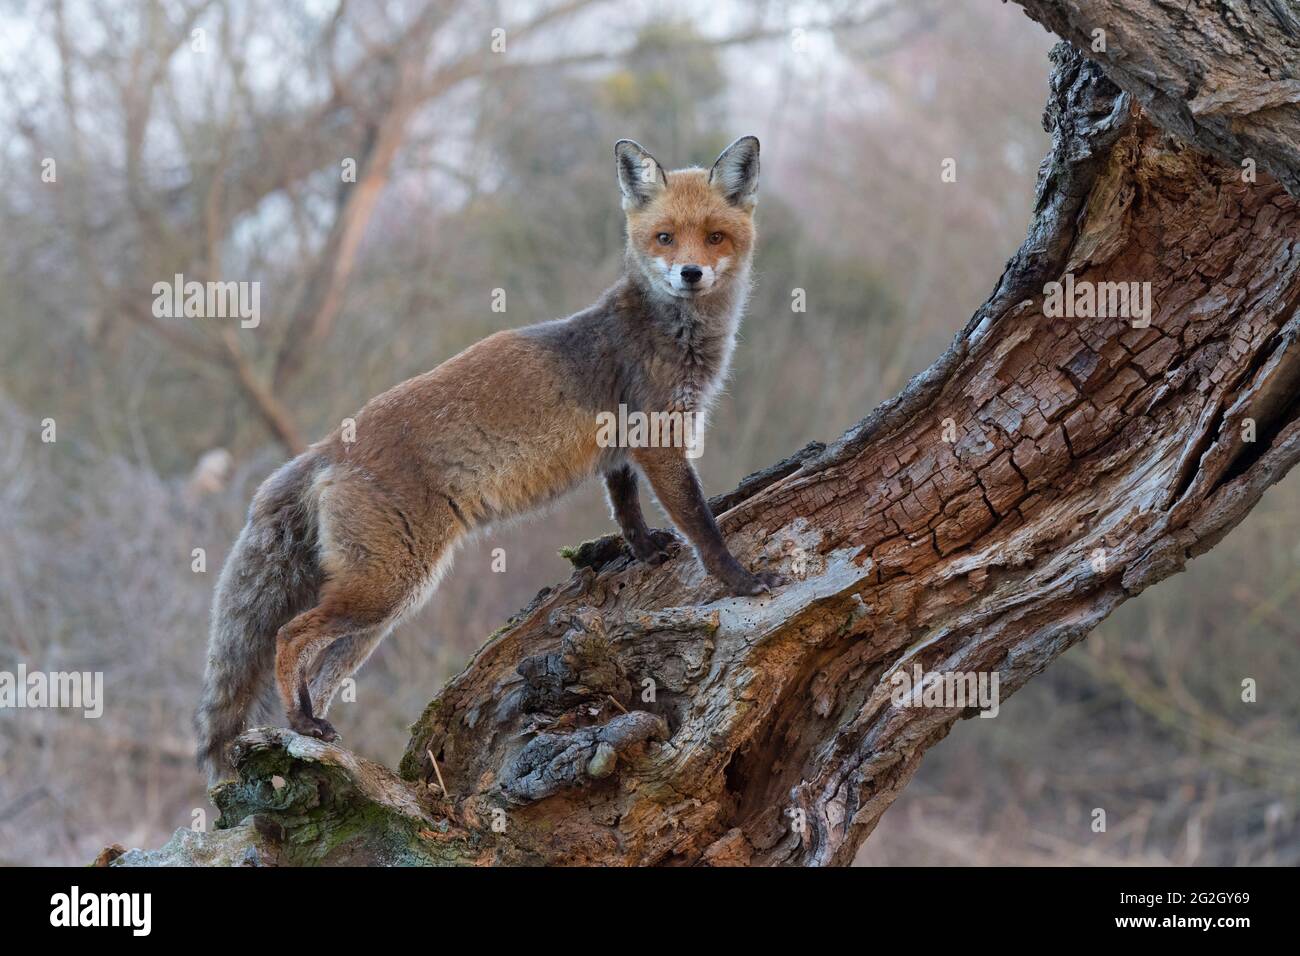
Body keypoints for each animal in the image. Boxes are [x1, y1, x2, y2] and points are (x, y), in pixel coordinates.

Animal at [195, 135, 785, 785]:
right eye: (664, 237)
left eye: (714, 236)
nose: (690, 273)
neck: (668, 330)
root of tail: (326, 448)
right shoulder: (658, 437)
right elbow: (702, 524)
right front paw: (740, 579)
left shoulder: (621, 451)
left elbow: (626, 509)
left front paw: (646, 551)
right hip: (384, 590)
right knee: (287, 636)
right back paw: (301, 723)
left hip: (383, 607)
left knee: (321, 668)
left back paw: (312, 730)